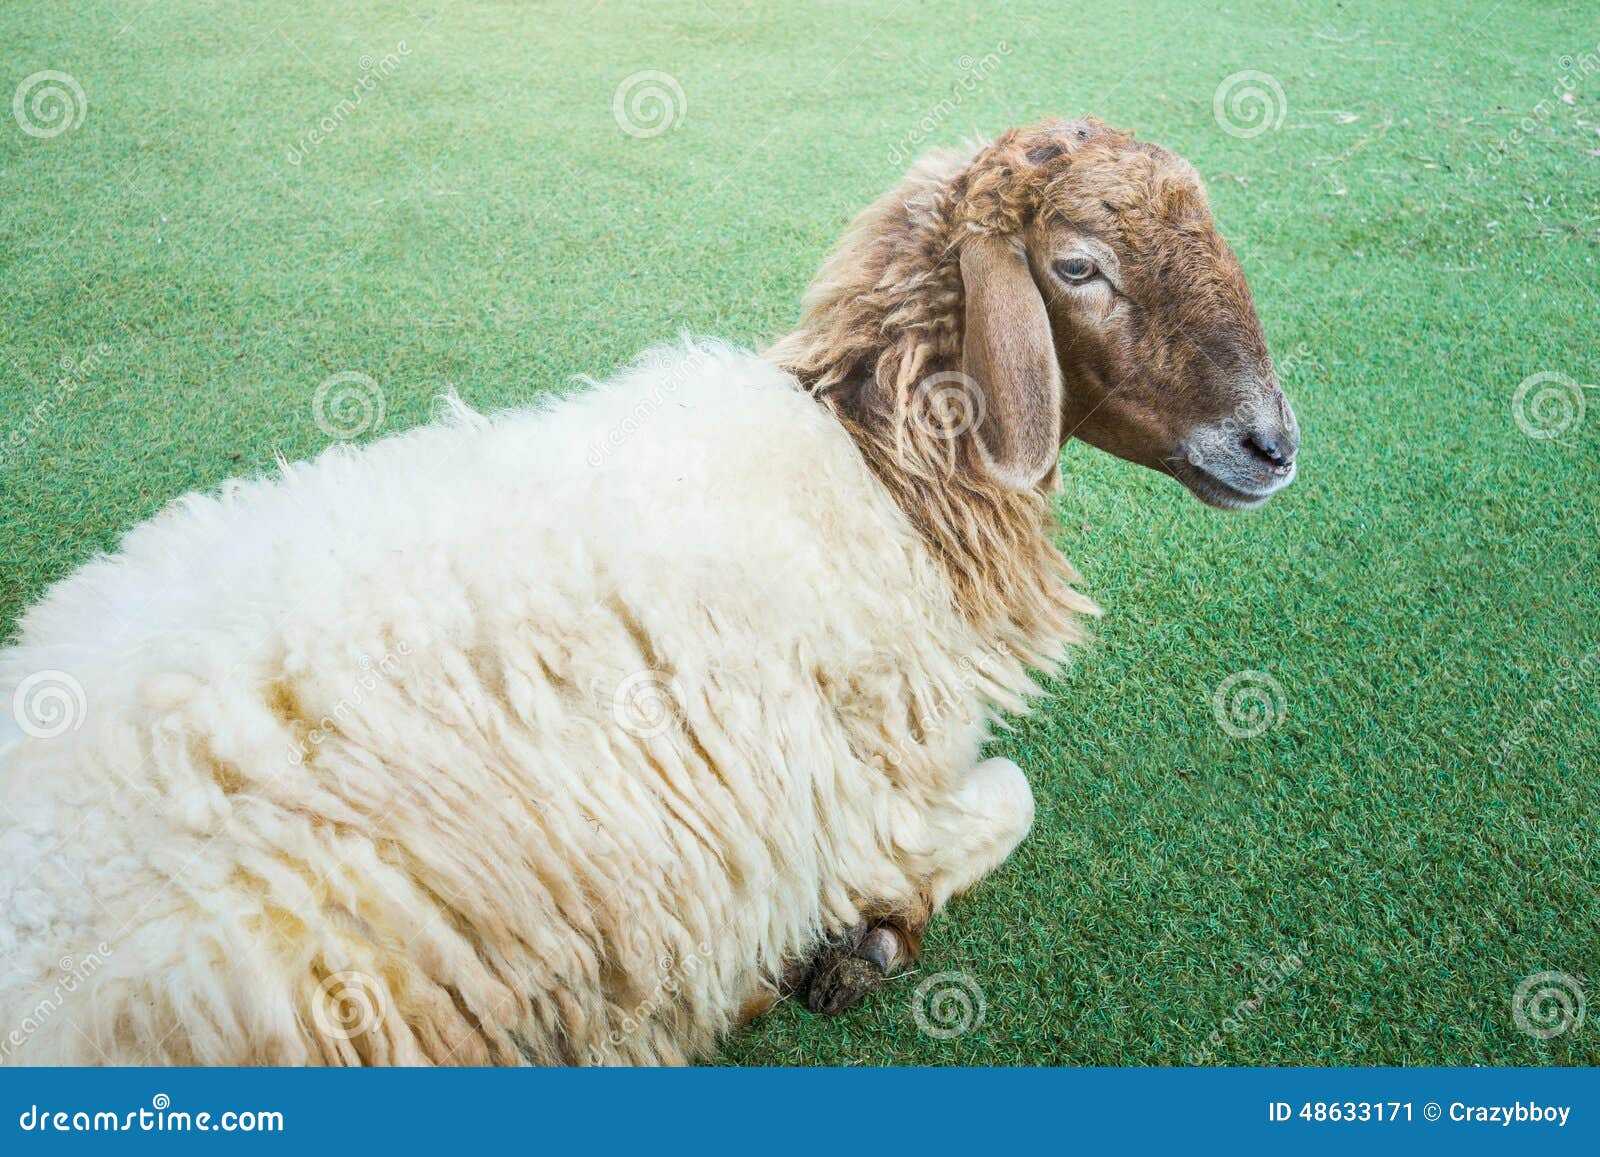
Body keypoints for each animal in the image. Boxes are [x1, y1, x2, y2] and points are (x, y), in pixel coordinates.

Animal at [0, 118, 1298, 1066]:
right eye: (1078, 267)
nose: (1274, 446)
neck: (881, 482)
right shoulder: (855, 805)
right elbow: (1009, 799)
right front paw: (855, 945)